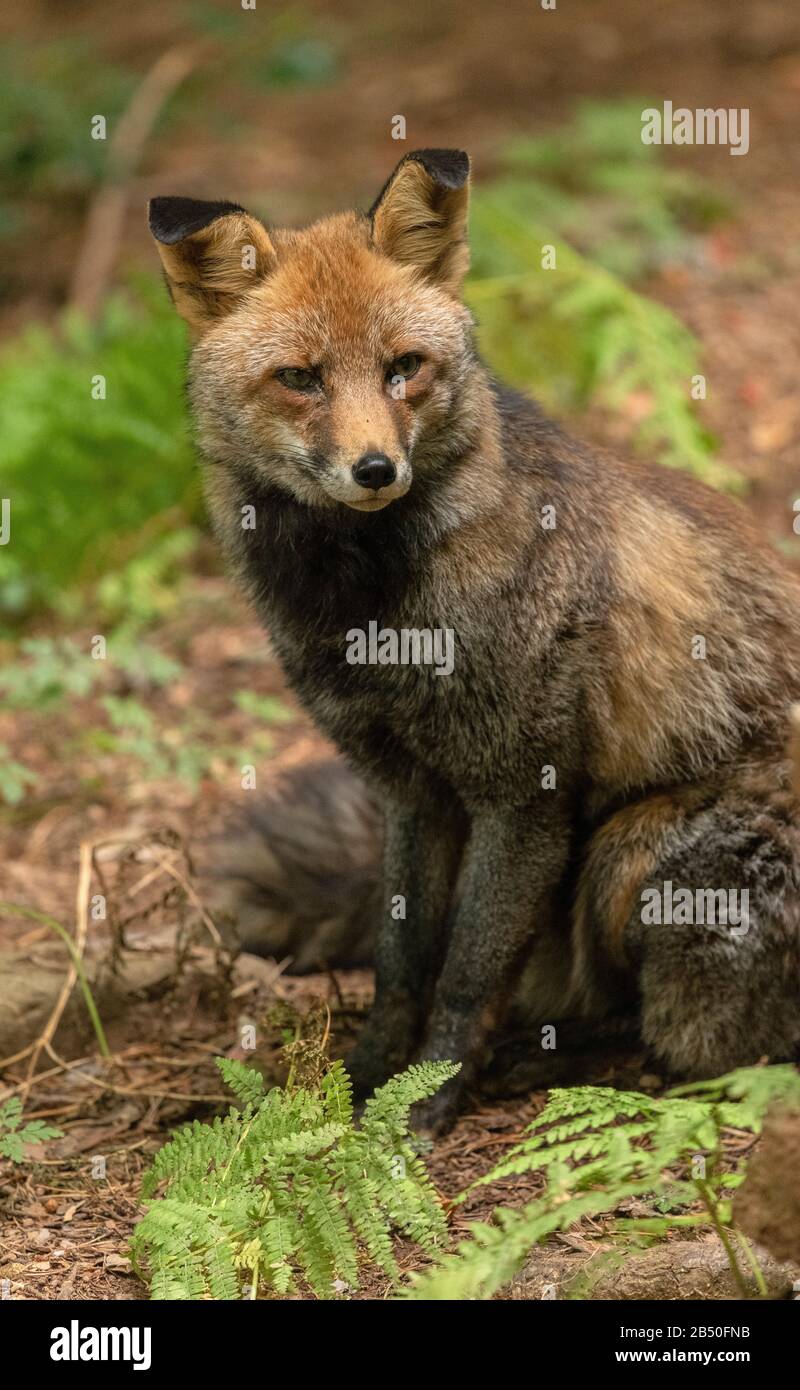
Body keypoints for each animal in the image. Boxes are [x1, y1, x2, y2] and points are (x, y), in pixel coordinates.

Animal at [149, 148, 800, 1133]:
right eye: (300, 379)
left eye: (404, 368)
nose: (375, 469)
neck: (374, 619)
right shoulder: (408, 790)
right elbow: (401, 962)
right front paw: (365, 1081)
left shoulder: (521, 791)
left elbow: (465, 975)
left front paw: (430, 1095)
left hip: (630, 853)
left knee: (684, 1041)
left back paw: (549, 1060)